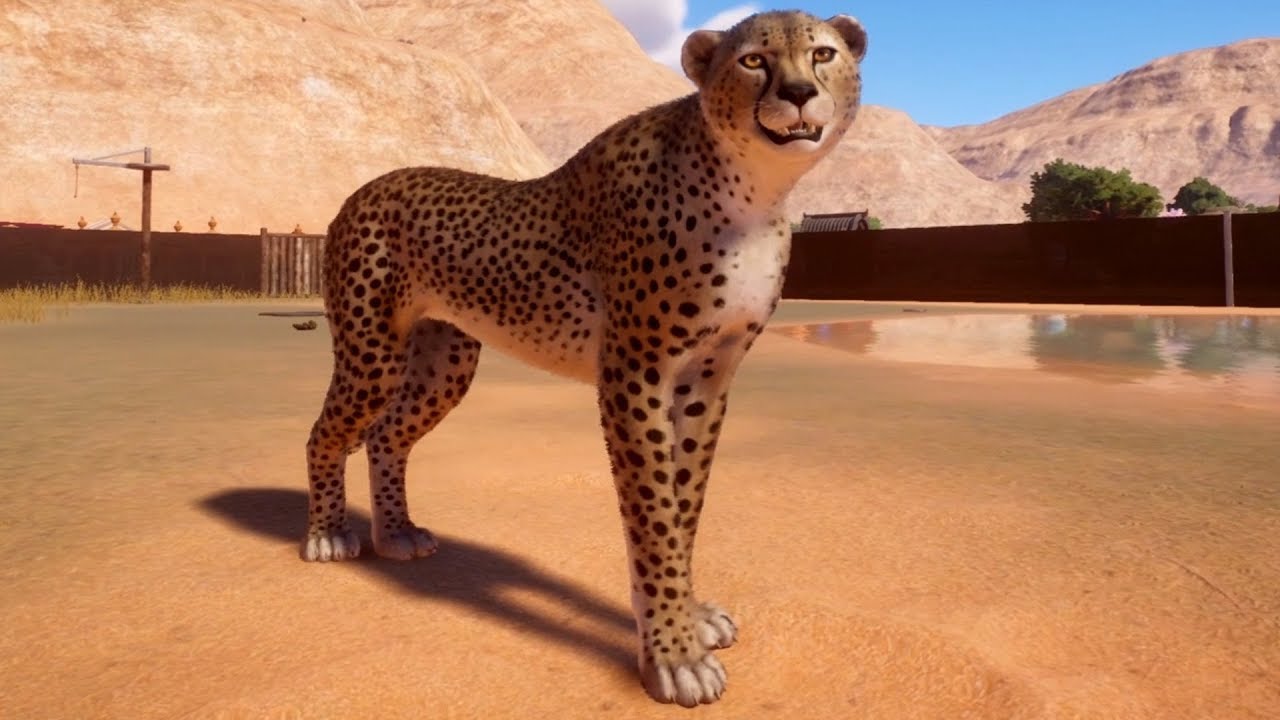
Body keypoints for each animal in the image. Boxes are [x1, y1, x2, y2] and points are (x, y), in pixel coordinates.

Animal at [300, 10, 867, 707]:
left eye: (823, 54)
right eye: (753, 61)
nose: (798, 92)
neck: (751, 191)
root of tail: (369, 187)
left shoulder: (708, 379)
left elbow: (684, 505)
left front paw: (689, 618)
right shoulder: (635, 375)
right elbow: (653, 516)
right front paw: (674, 654)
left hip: (444, 365)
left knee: (385, 436)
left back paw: (397, 532)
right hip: (373, 356)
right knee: (326, 433)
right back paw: (328, 532)